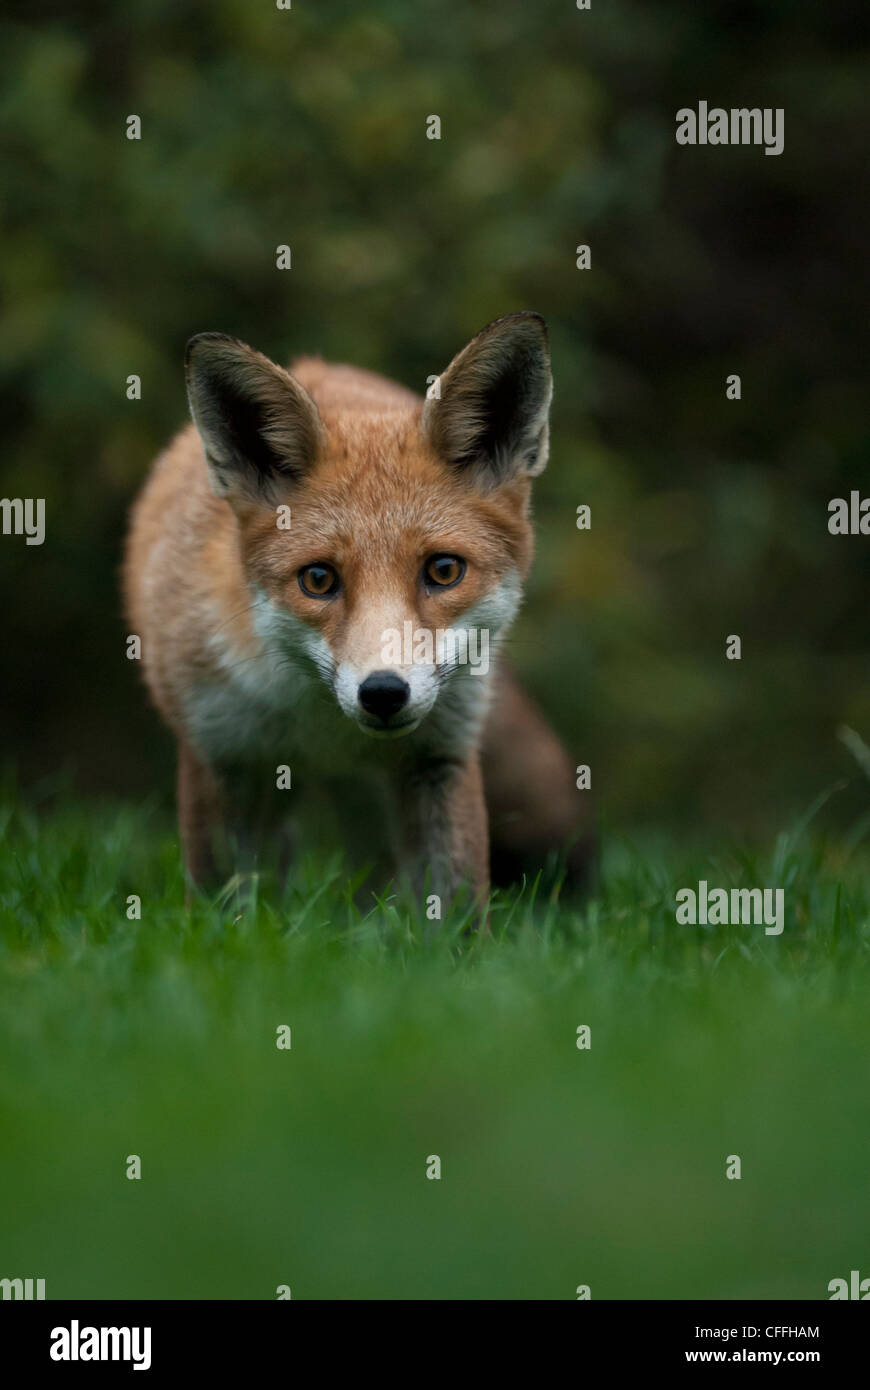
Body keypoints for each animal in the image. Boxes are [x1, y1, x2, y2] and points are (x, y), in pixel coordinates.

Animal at [123, 312, 594, 914]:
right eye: (319, 579)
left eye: (444, 570)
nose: (384, 692)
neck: (322, 724)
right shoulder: (219, 755)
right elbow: (221, 904)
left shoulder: (441, 754)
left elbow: (457, 903)